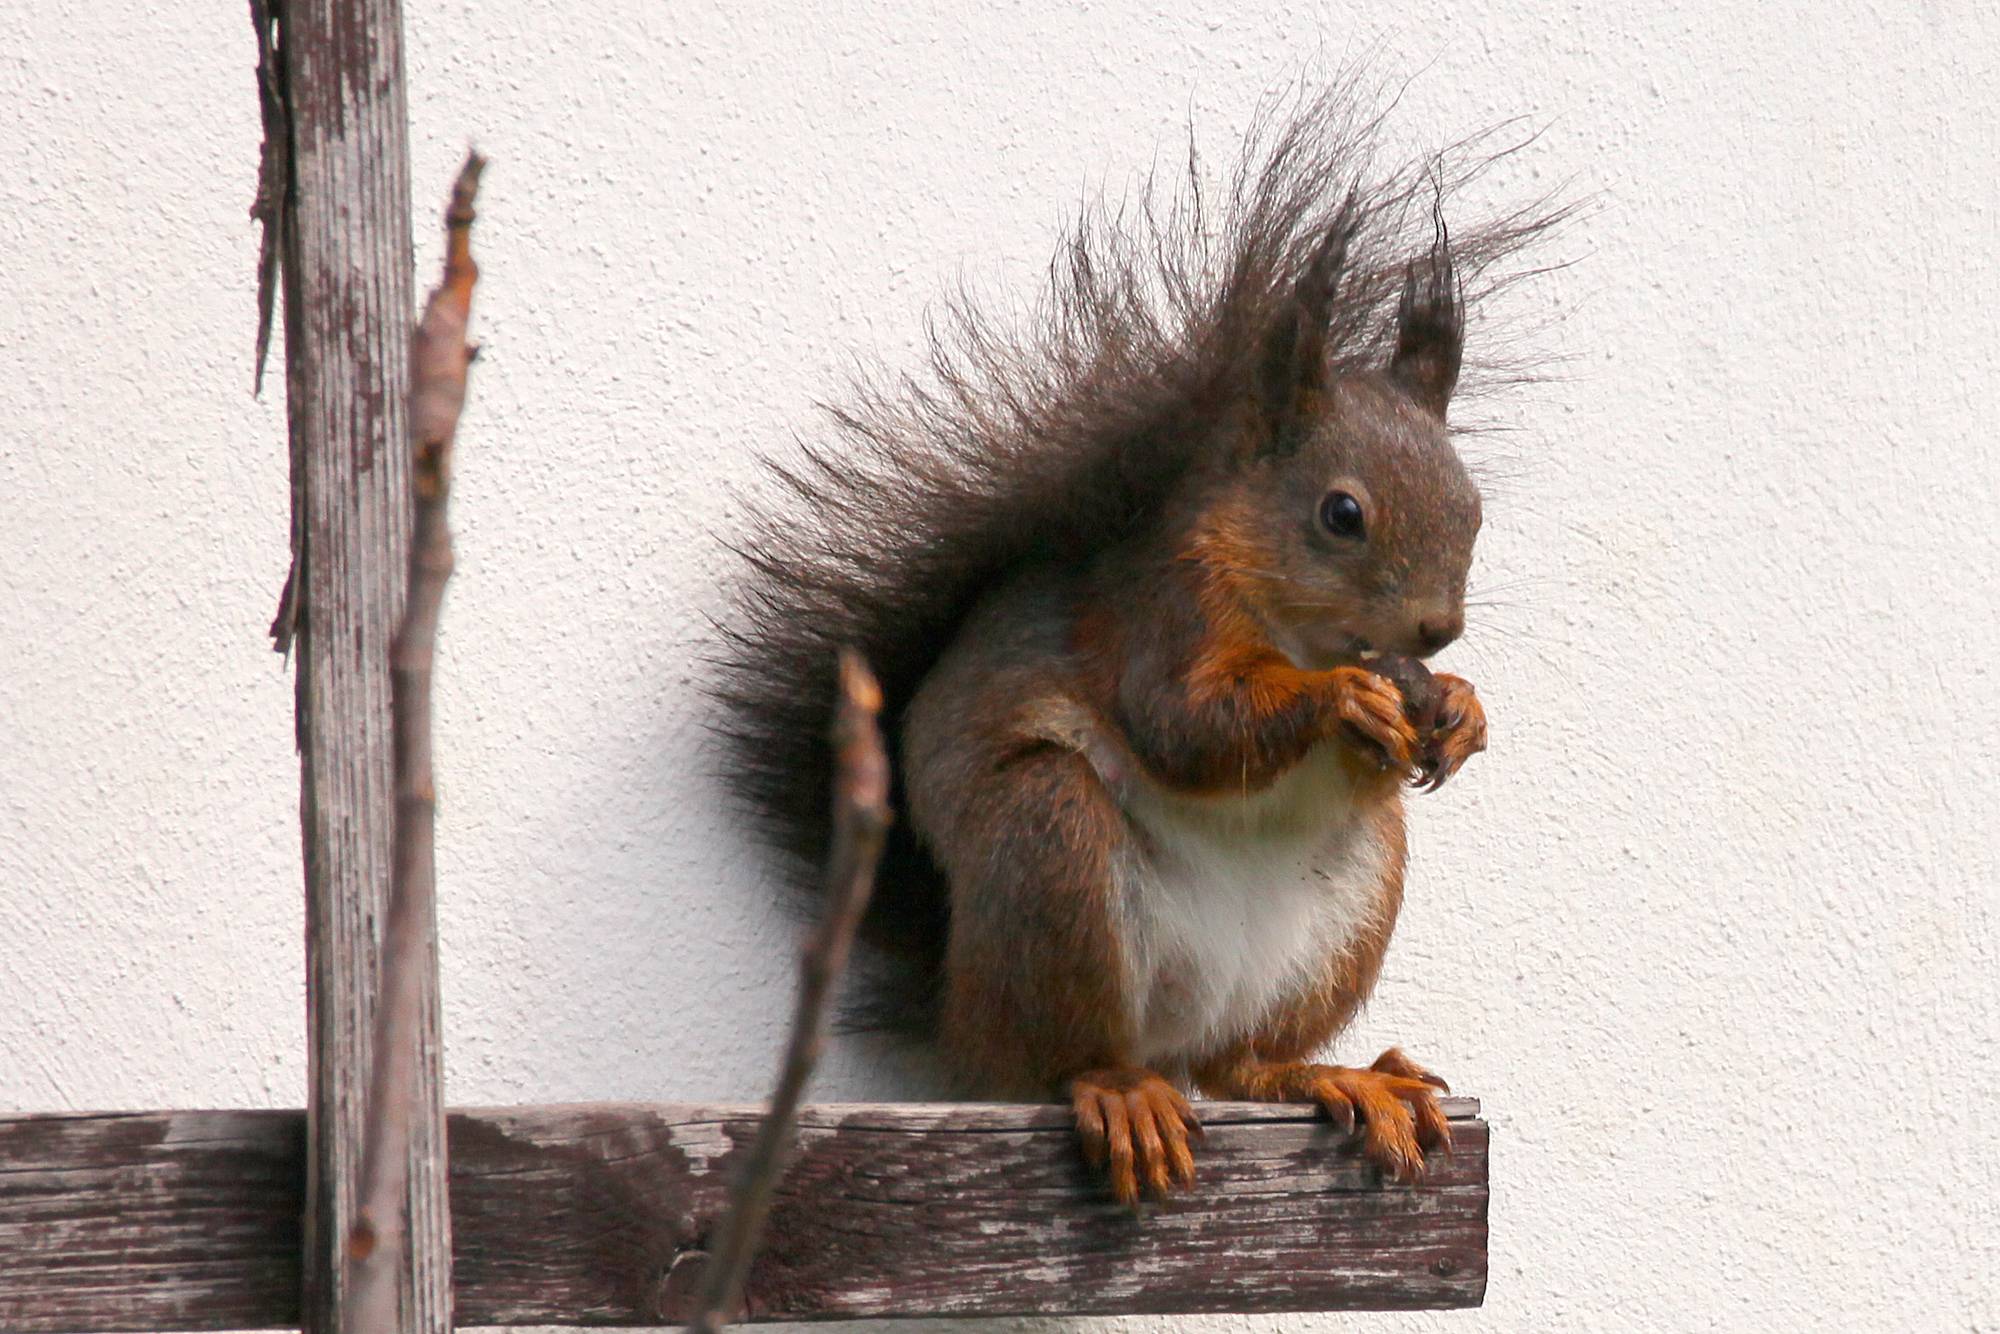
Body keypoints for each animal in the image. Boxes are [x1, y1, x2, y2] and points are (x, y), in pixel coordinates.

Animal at [714, 88, 1561, 1206]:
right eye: (1340, 514)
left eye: (1472, 509)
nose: (1437, 628)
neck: (1298, 626)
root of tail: (955, 1016)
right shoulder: (1162, 614)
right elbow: (1185, 725)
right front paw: (1341, 696)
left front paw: (1460, 708)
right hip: (1052, 852)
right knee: (1057, 1056)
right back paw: (1113, 1088)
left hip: (1346, 904)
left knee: (1238, 1062)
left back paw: (1327, 1072)